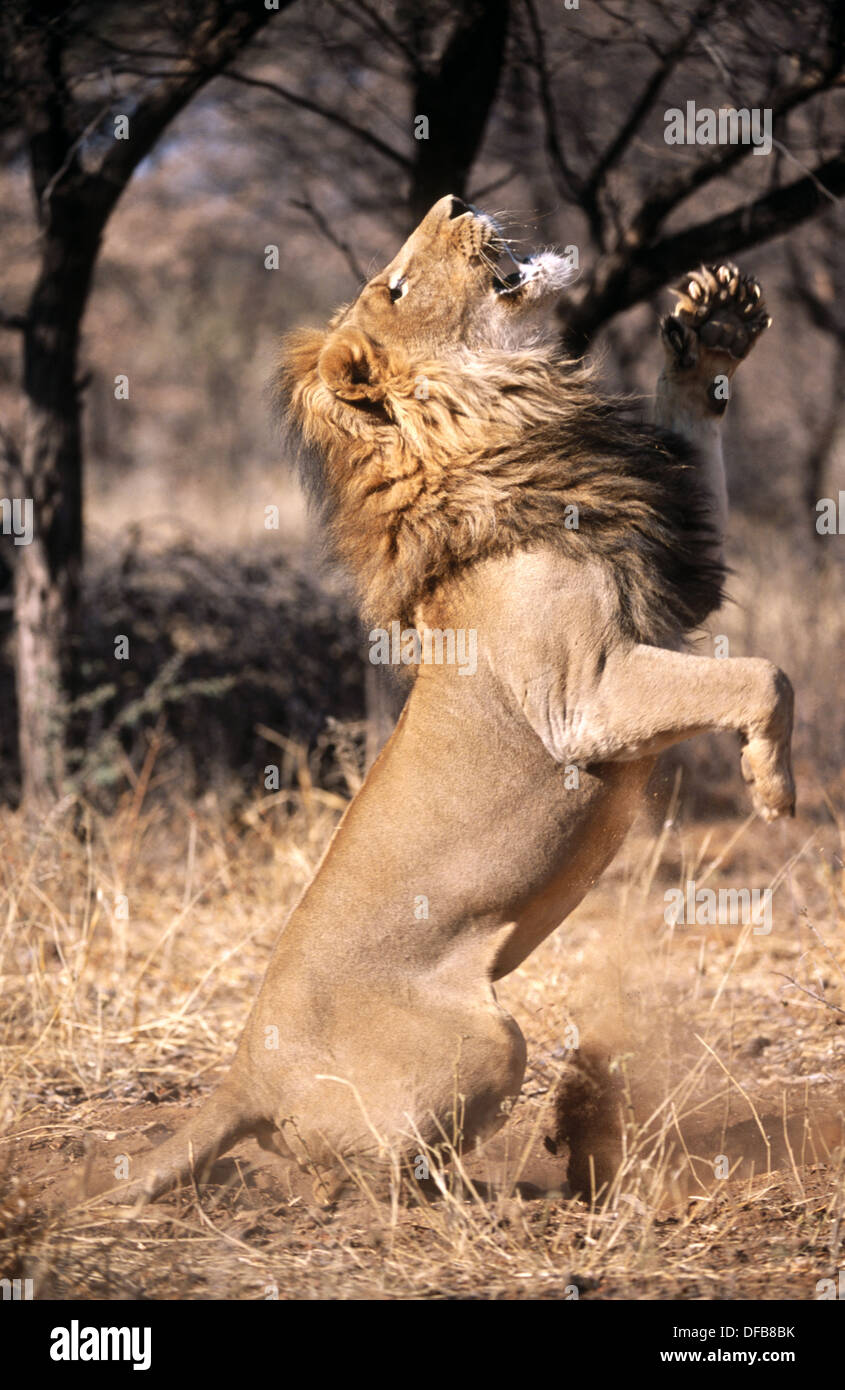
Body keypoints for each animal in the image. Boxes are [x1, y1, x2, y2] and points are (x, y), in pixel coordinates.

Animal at [68, 195, 795, 1207]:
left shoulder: (668, 566)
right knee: (380, 1176)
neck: (495, 413)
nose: (453, 203)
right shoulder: (588, 696)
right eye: (399, 286)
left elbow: (694, 439)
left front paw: (713, 327)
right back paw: (539, 1177)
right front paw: (771, 786)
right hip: (485, 1039)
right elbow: (763, 675)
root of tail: (241, 1078)